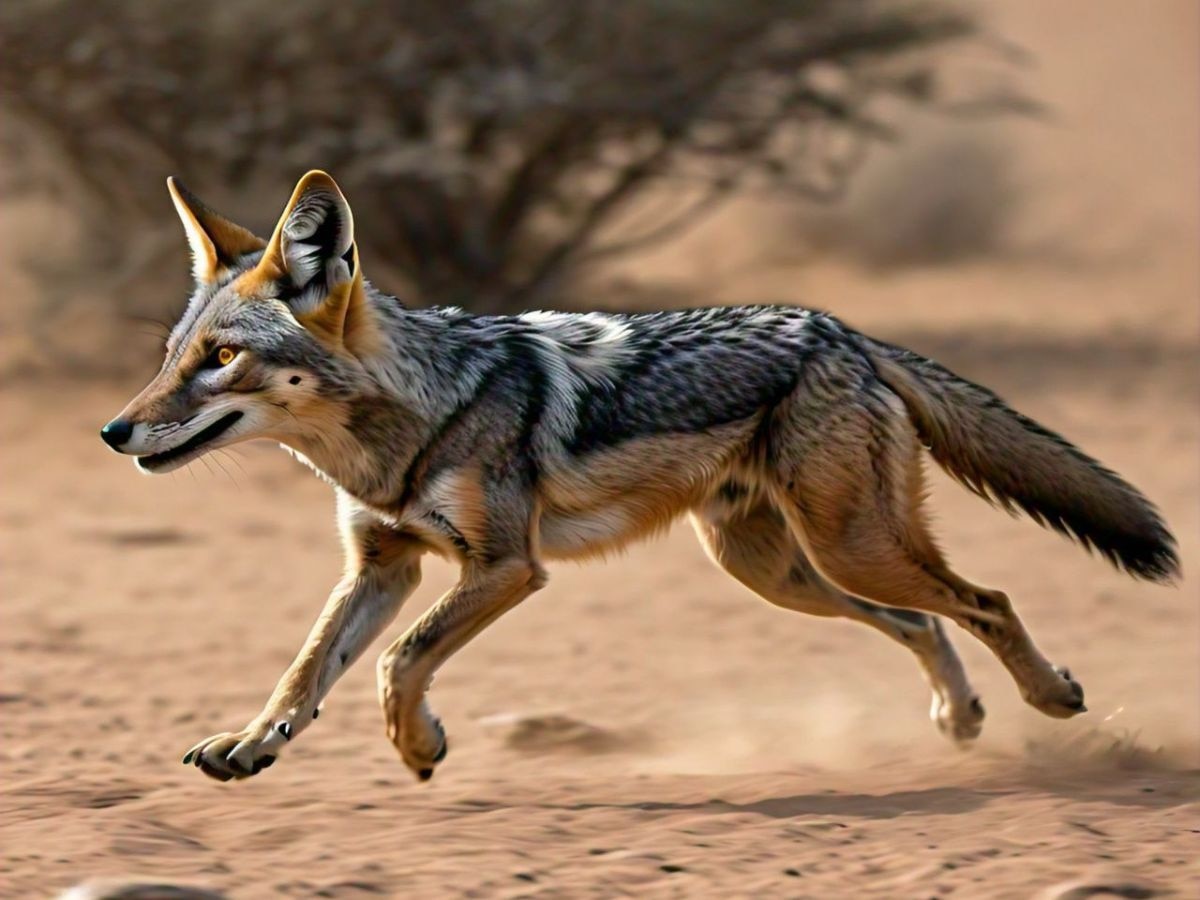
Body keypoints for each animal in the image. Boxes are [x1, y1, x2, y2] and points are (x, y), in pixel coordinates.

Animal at [101, 171, 1178, 783]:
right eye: (175, 354)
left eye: (222, 360)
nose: (114, 431)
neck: (406, 425)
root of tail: (841, 328)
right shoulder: (383, 566)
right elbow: (307, 667)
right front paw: (251, 746)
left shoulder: (506, 568)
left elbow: (399, 662)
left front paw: (419, 745)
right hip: (781, 571)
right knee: (923, 622)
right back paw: (960, 718)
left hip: (849, 550)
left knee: (985, 600)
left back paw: (1051, 698)